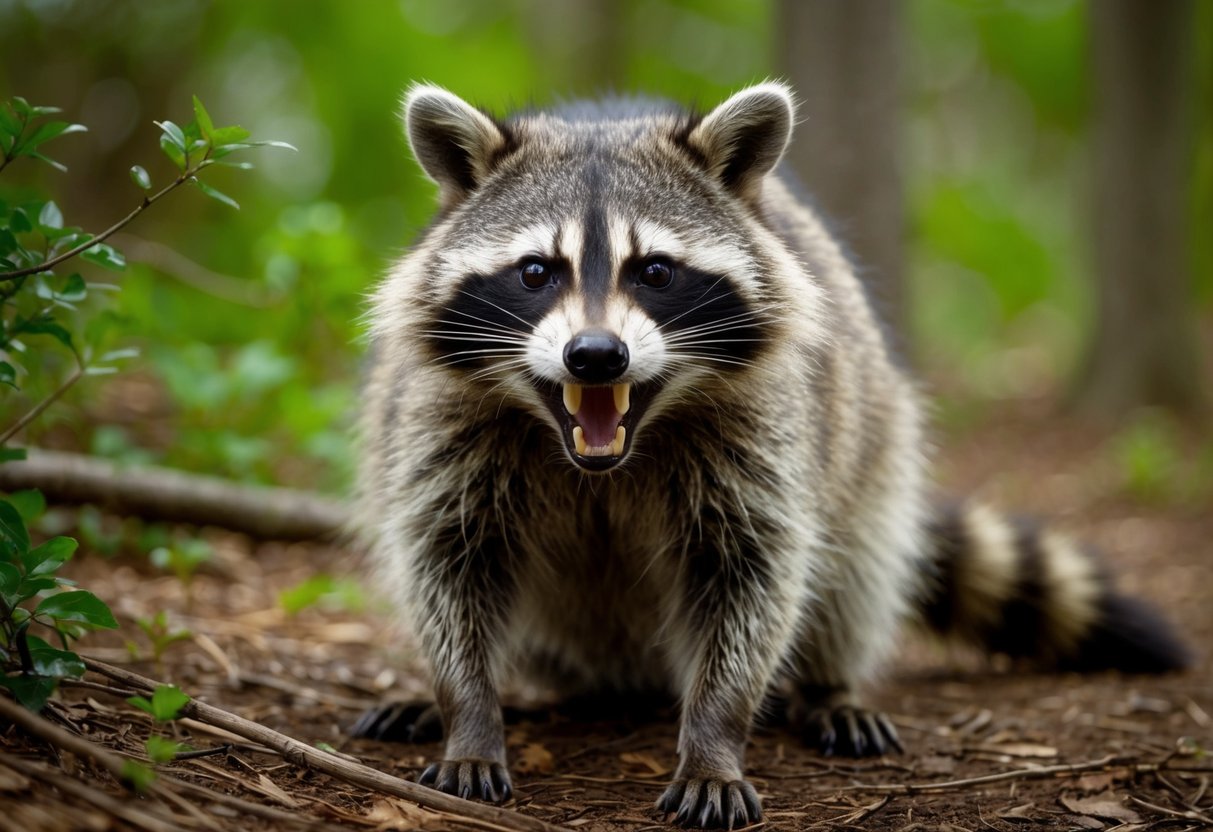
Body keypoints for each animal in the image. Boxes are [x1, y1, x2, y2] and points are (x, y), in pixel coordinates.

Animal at [354, 82, 1190, 829]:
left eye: (654, 271)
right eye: (535, 271)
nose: (594, 356)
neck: (603, 458)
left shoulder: (764, 430)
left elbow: (750, 579)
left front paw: (714, 738)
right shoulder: (439, 421)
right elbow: (447, 564)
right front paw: (467, 712)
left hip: (873, 441)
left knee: (856, 569)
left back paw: (827, 687)